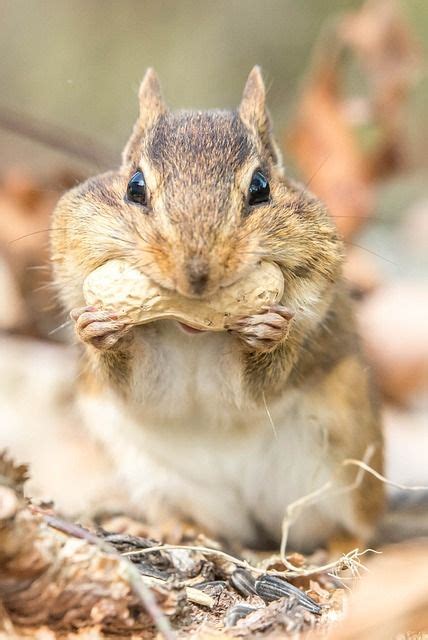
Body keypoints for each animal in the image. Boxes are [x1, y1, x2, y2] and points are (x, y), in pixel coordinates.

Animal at [50, 67, 384, 552]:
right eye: (135, 186)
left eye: (260, 188)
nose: (196, 277)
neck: (193, 333)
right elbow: (143, 389)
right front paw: (99, 330)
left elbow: (254, 389)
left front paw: (267, 335)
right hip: (157, 477)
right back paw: (170, 527)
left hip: (347, 454)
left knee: (351, 526)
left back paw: (336, 547)